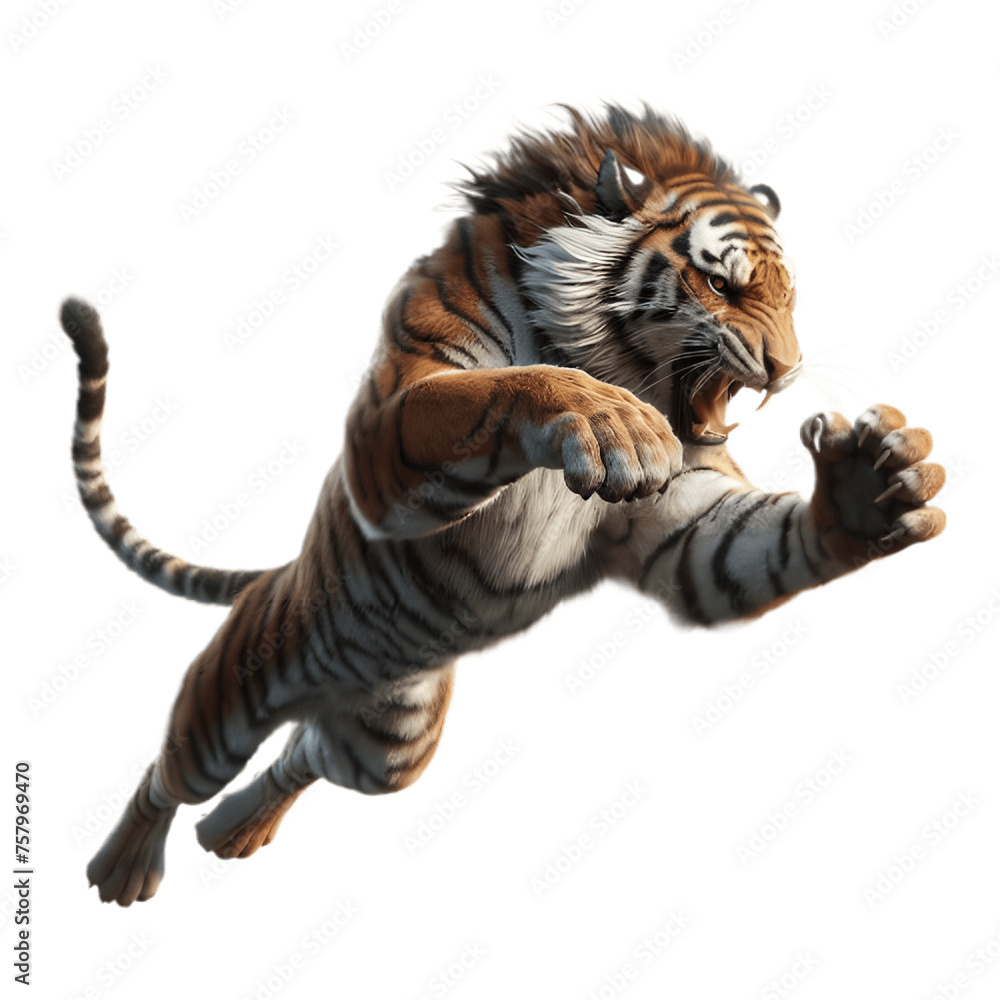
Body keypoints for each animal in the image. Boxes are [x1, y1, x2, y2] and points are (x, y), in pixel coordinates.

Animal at [62, 104, 945, 906]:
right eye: (720, 284)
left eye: (790, 298)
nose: (787, 369)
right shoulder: (392, 427)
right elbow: (503, 389)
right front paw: (607, 420)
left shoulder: (686, 524)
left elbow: (738, 547)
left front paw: (867, 488)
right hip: (235, 693)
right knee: (170, 774)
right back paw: (122, 870)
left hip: (394, 740)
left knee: (303, 755)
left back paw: (234, 829)